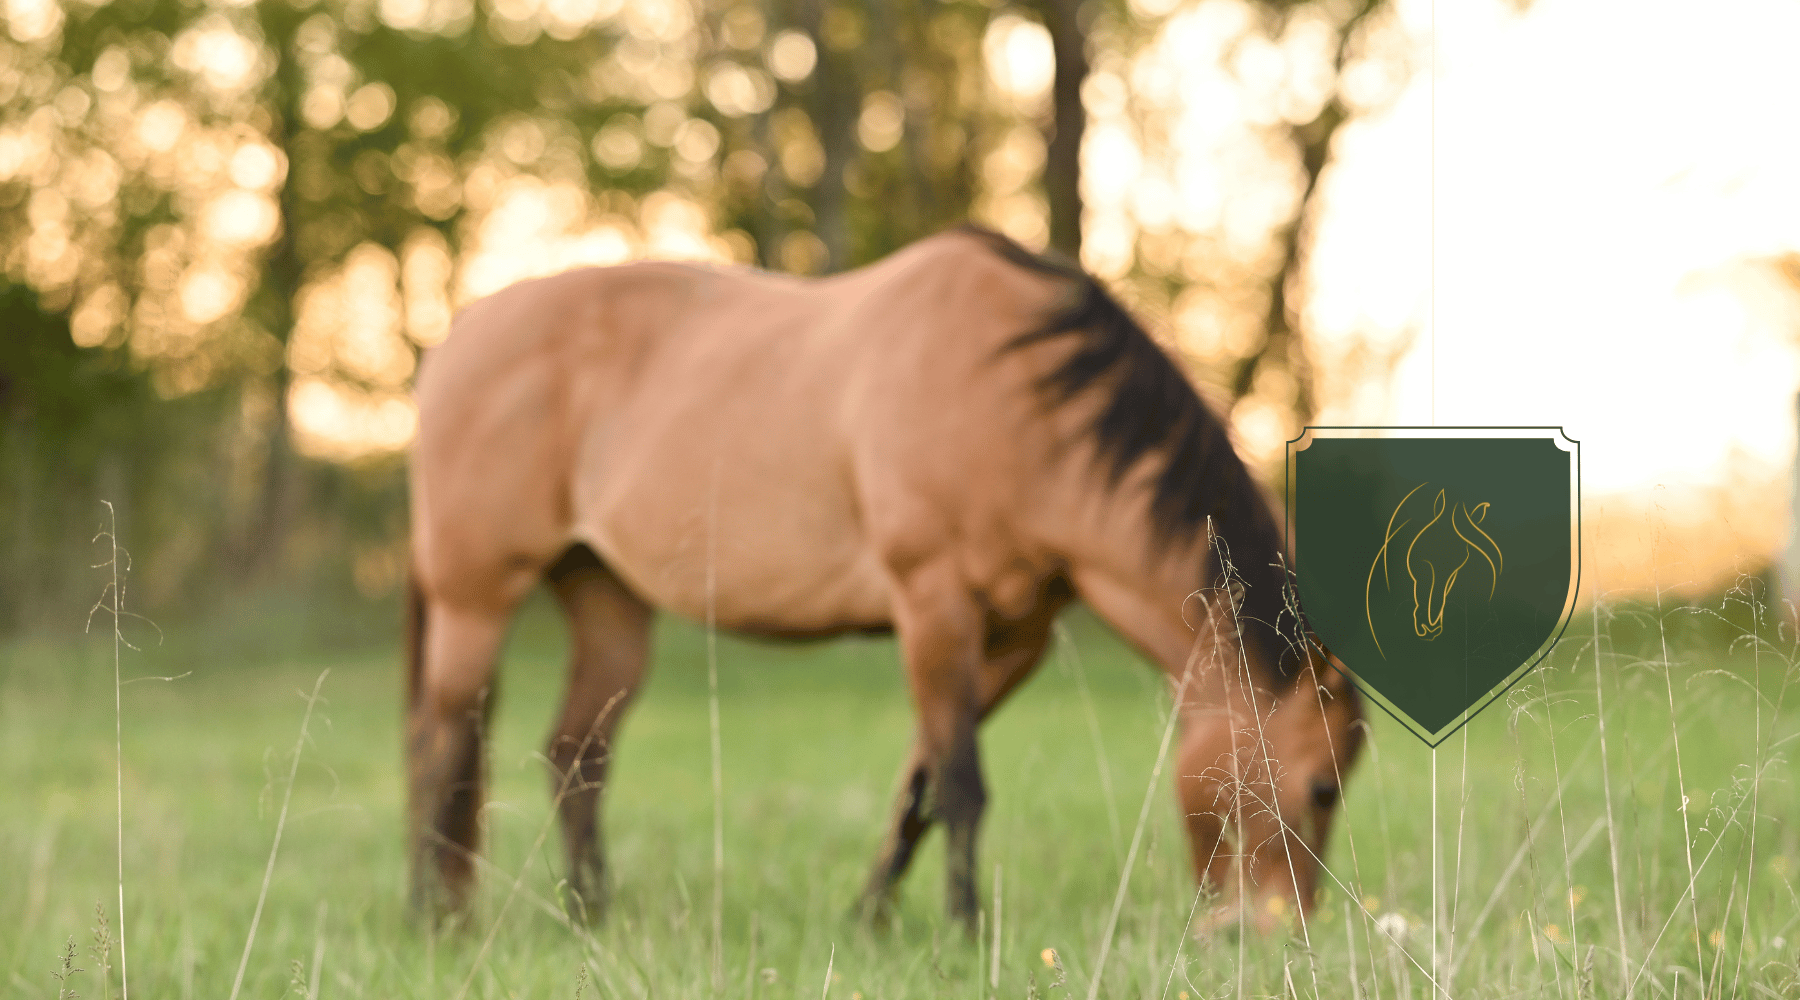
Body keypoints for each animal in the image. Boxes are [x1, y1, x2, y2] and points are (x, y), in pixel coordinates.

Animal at [405, 223, 1360, 935]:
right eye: (1319, 786)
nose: (1277, 930)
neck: (1020, 401)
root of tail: (455, 339)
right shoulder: (932, 604)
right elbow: (962, 785)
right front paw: (966, 930)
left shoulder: (1011, 639)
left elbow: (920, 789)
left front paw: (870, 920)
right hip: (474, 598)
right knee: (444, 742)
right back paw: (435, 918)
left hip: (605, 599)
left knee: (577, 755)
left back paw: (591, 915)